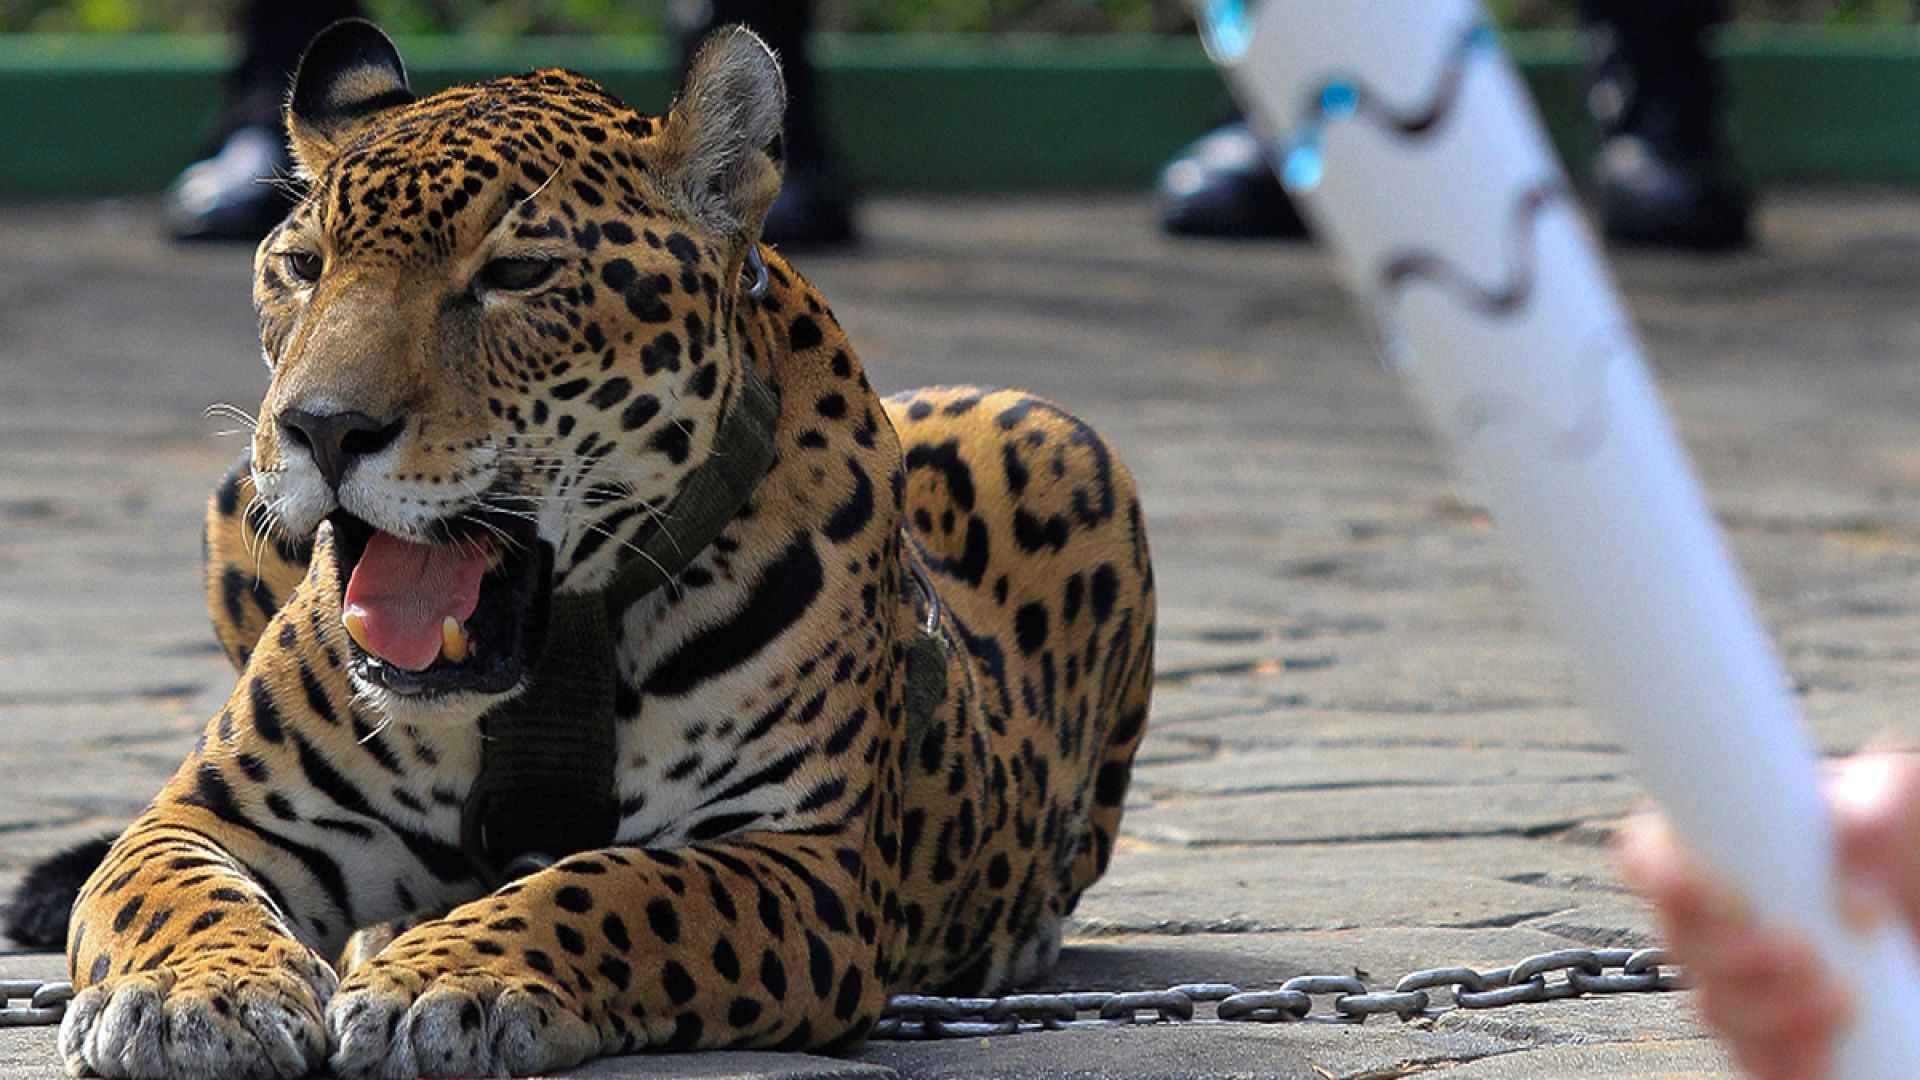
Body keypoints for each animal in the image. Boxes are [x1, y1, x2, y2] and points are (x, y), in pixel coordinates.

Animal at [50, 19, 1154, 1079]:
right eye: (303, 265)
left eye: (515, 275)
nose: (320, 428)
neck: (557, 648)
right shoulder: (214, 816)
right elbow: (173, 894)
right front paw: (194, 996)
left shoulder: (809, 859)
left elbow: (611, 888)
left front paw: (442, 979)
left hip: (1053, 435)